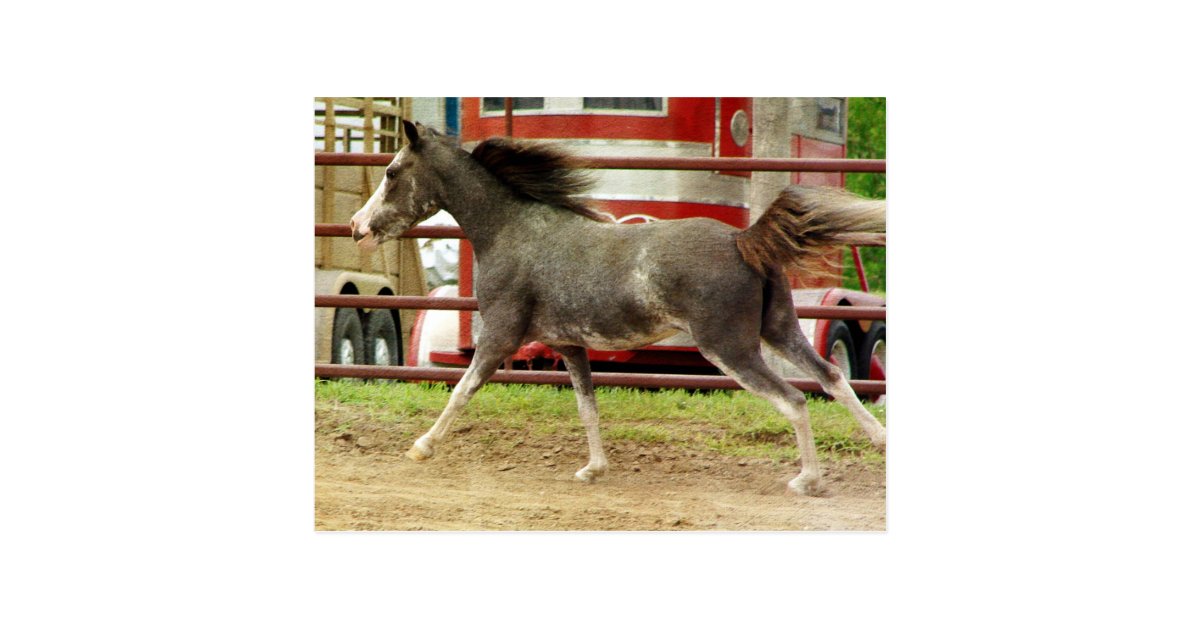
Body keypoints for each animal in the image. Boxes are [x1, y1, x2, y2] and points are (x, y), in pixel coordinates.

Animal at [349, 120, 886, 496]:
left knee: (794, 399)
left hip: (730, 348)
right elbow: (587, 408)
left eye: (392, 172)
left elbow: (461, 391)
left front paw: (420, 447)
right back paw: (879, 441)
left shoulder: (499, 337)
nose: (356, 227)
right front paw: (593, 469)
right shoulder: (570, 346)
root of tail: (742, 239)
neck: (510, 232)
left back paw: (807, 481)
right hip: (779, 330)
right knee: (831, 378)